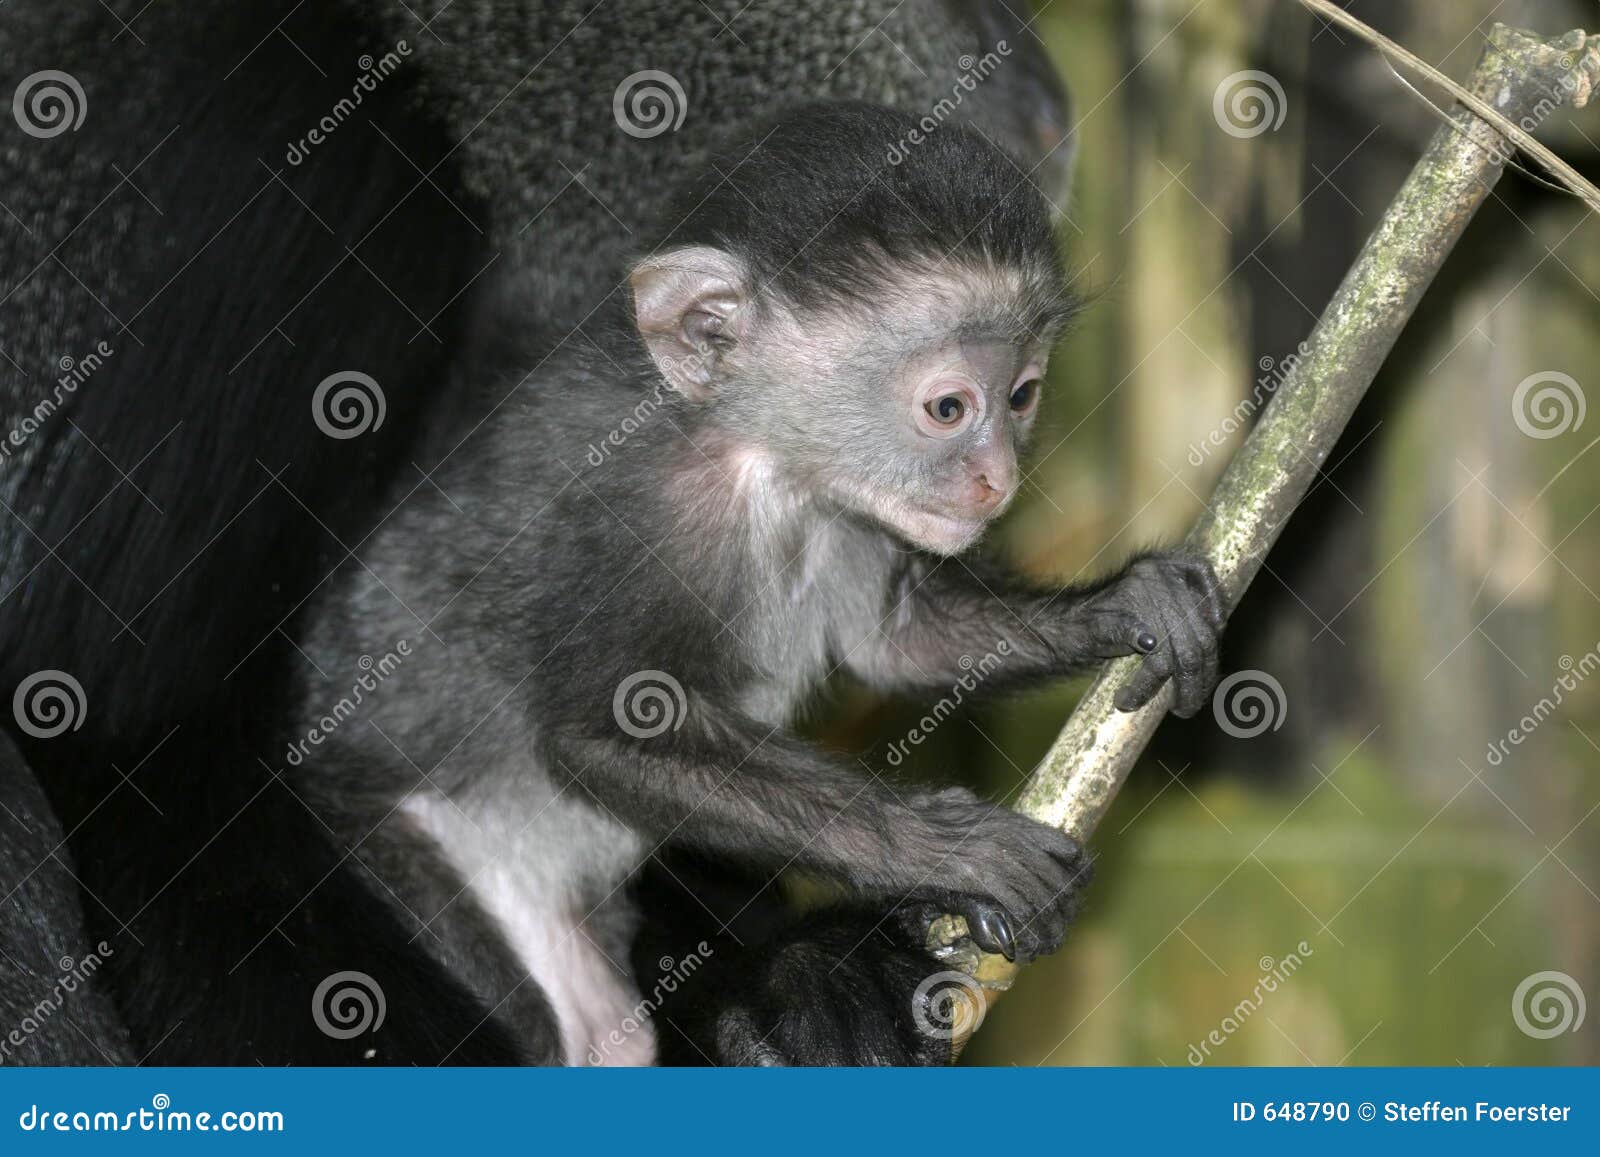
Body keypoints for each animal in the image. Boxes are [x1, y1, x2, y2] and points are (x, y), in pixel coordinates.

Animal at [281, 101, 1223, 1066]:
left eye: (1023, 394)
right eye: (950, 408)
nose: (996, 477)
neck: (763, 468)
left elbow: (898, 646)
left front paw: (1124, 604)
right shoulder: (645, 513)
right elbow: (600, 736)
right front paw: (944, 849)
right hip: (391, 847)